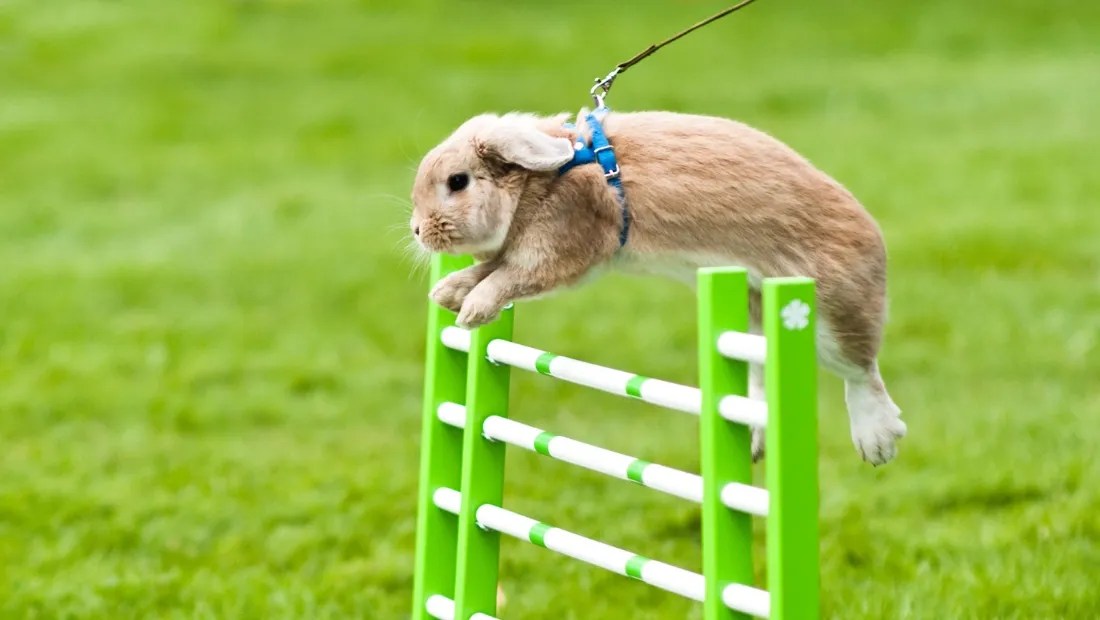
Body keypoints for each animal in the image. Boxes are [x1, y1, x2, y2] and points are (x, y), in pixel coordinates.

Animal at [409, 110, 907, 466]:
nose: (418, 230)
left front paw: (472, 310)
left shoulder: (555, 250)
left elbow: (504, 278)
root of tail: (874, 235)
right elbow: (487, 268)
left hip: (828, 318)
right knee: (760, 383)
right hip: (753, 320)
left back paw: (878, 442)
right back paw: (754, 441)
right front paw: (448, 292)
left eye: (458, 182)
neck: (546, 177)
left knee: (861, 373)